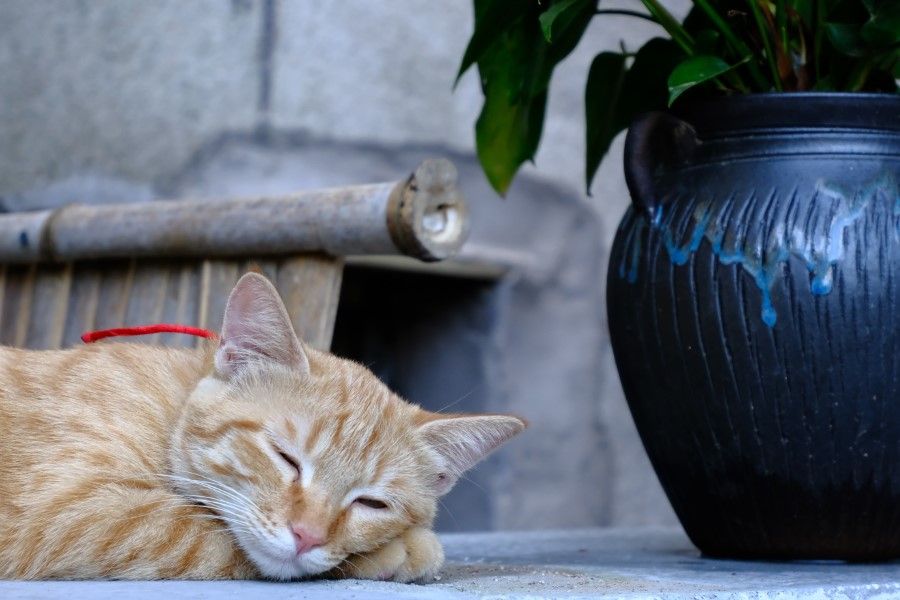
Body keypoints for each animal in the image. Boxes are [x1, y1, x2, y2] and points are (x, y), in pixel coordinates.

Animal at [0, 274, 528, 580]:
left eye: (373, 503)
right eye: (285, 457)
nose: (308, 537)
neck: (172, 405)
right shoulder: (72, 511)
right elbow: (207, 537)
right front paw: (402, 551)